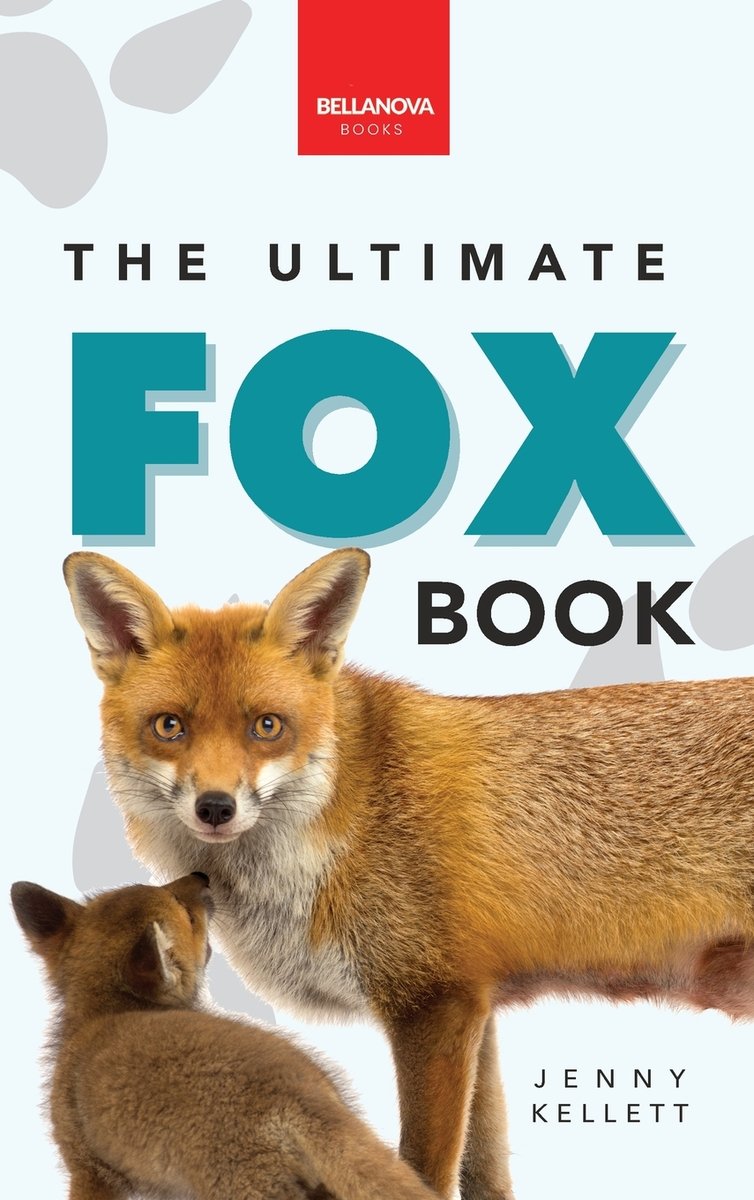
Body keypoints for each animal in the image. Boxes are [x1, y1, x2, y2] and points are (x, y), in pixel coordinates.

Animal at [63, 548, 754, 1200]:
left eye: (266, 727)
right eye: (169, 727)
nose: (215, 807)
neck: (347, 818)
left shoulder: (433, 1004)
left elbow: (422, 1170)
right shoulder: (476, 1006)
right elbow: (486, 1169)